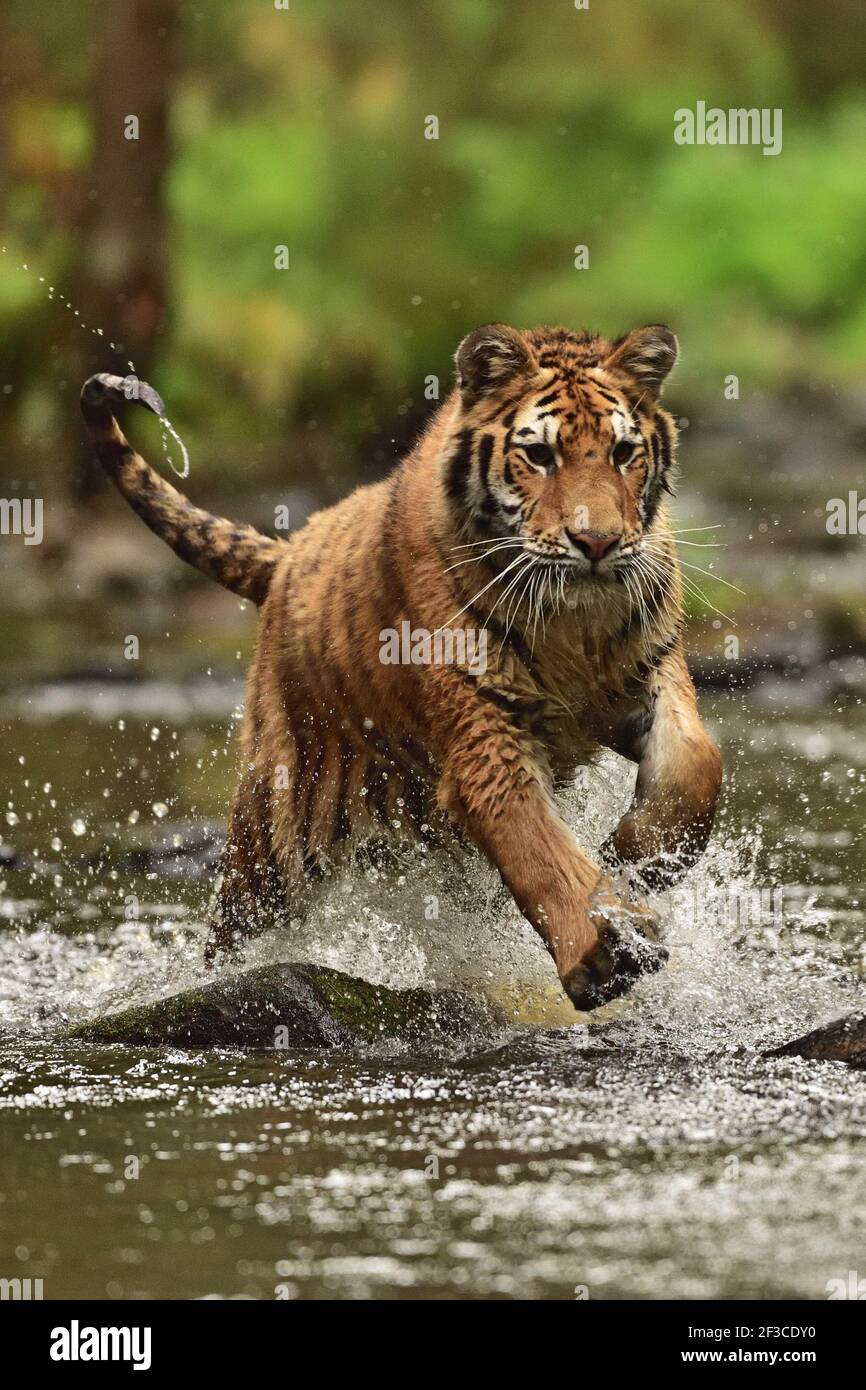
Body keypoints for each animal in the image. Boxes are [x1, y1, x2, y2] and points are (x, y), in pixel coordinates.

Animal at [80, 322, 722, 1012]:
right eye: (540, 456)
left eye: (624, 452)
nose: (597, 543)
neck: (571, 625)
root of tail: (289, 553)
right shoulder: (483, 735)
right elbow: (536, 844)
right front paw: (606, 946)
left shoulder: (649, 671)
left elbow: (696, 763)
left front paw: (637, 855)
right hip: (274, 828)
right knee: (234, 920)